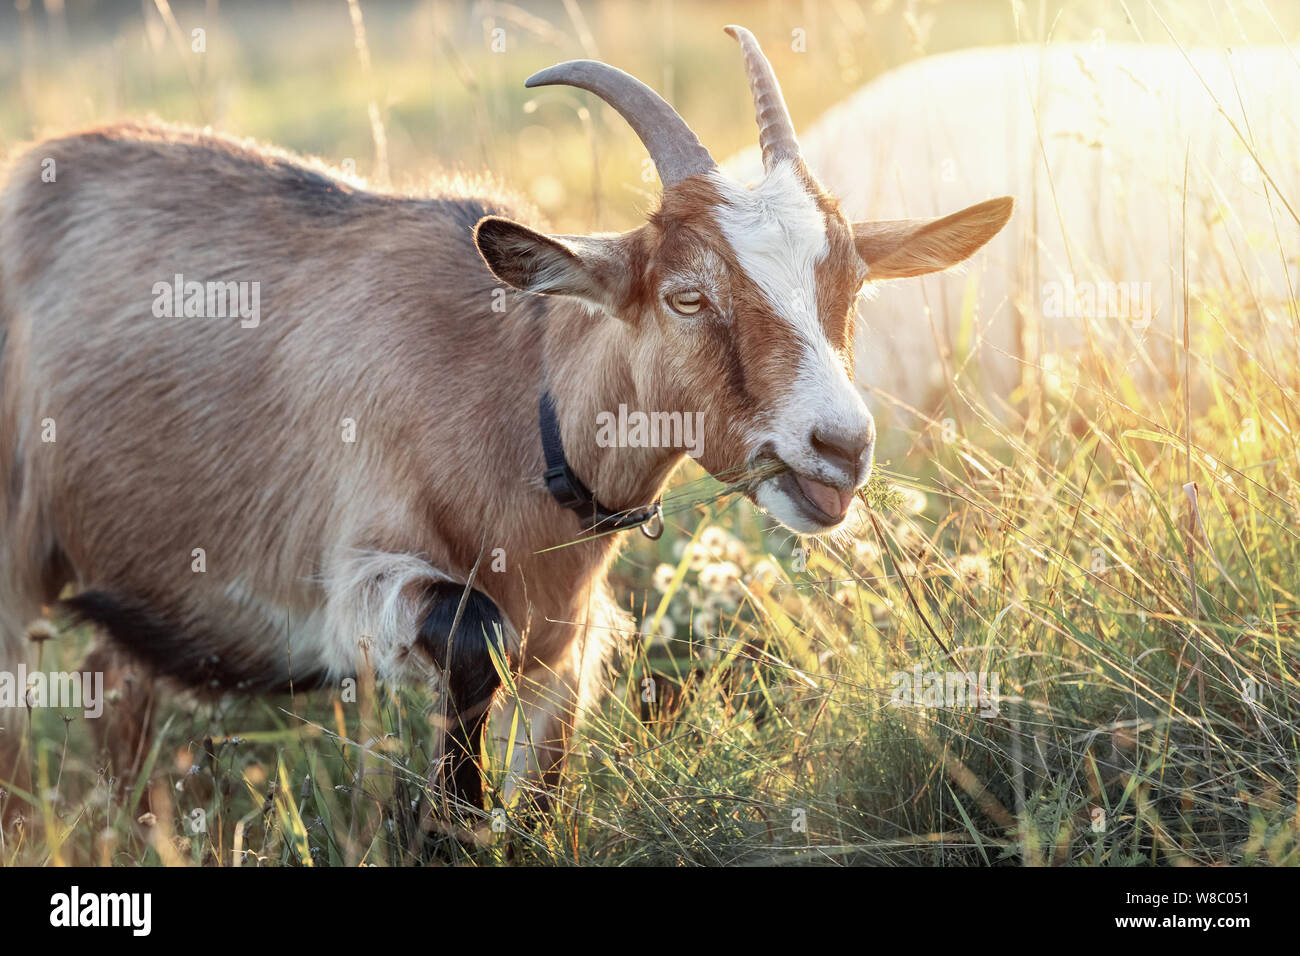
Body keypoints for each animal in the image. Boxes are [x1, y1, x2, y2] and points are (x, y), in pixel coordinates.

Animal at [0, 26, 1011, 834]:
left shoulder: (564, 649)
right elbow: (471, 638)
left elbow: (545, 792)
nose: (841, 445)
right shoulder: (359, 580)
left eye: (850, 285)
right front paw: (451, 818)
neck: (521, 414)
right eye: (687, 296)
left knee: (114, 700)